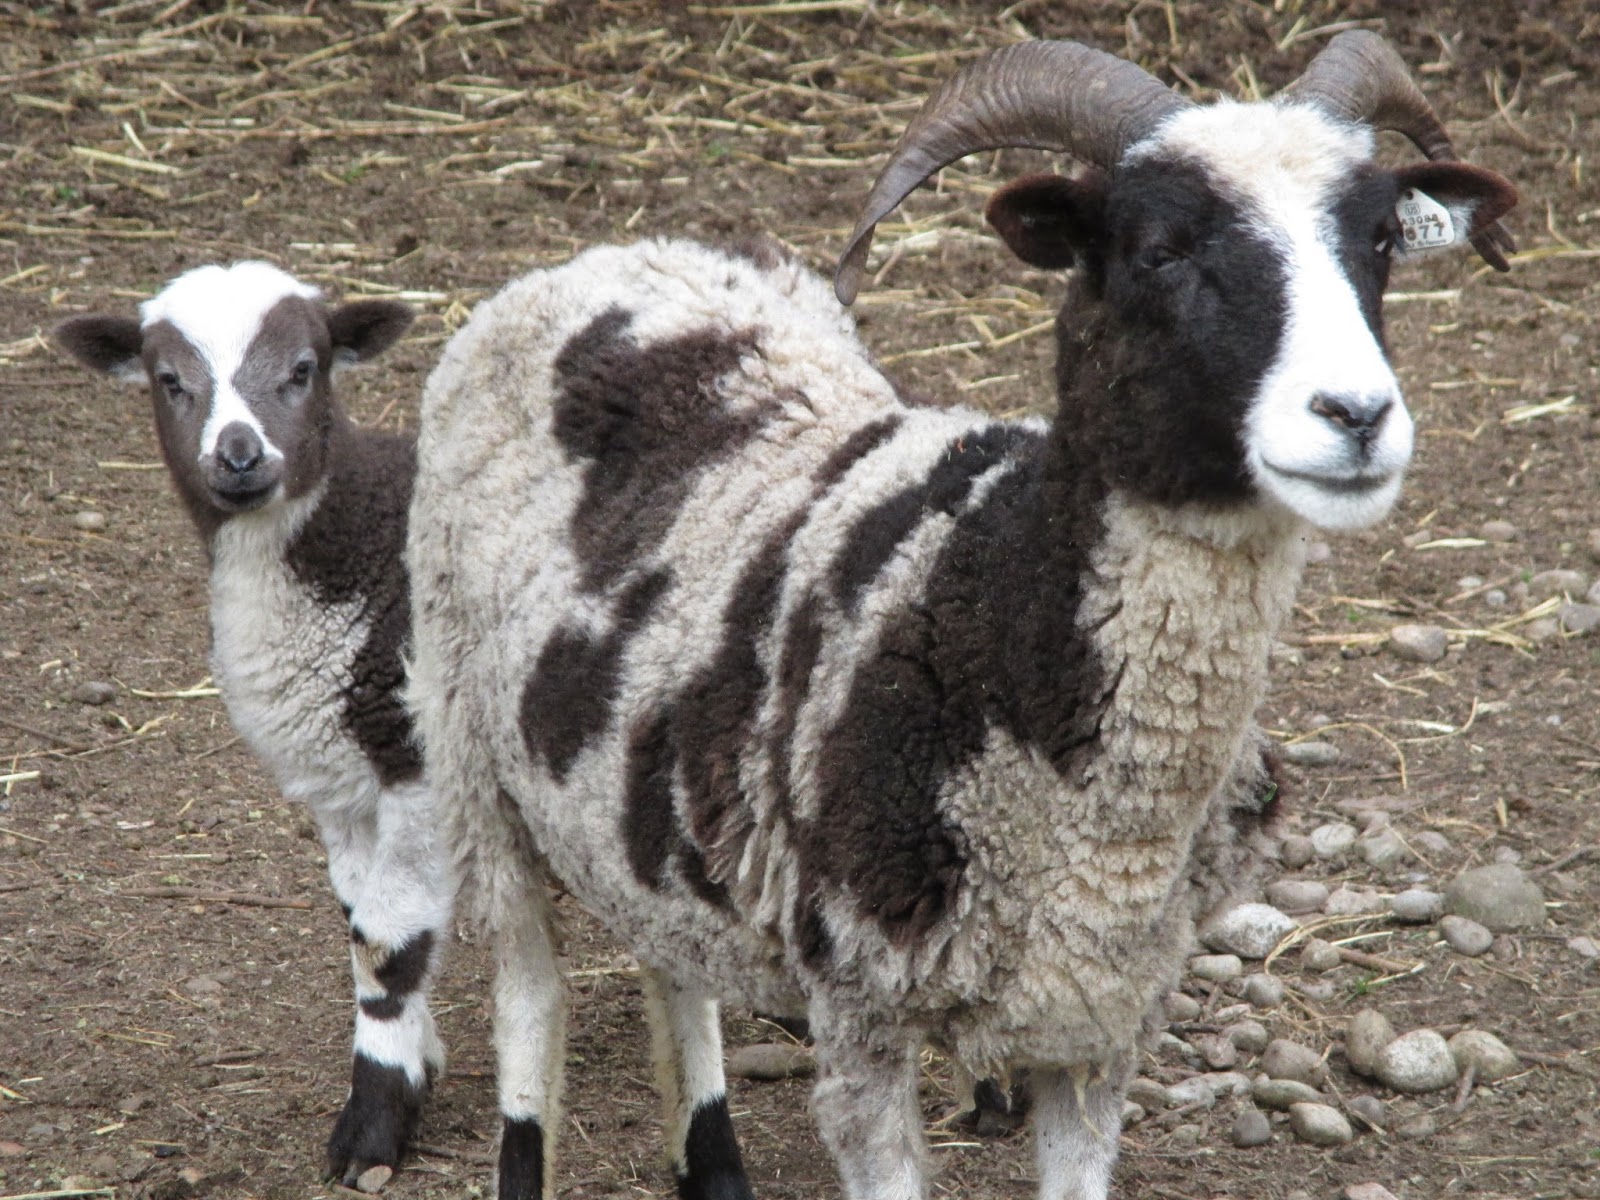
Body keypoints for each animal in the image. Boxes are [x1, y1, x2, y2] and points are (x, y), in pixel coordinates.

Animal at [54, 262, 449, 1187]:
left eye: (305, 367)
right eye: (169, 379)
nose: (239, 455)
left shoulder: (413, 754)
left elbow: (391, 947)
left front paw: (372, 1130)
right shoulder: (343, 783)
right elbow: (360, 925)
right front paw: (417, 1066)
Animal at [404, 31, 1516, 1200]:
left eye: (1382, 240)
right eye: (1158, 249)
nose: (1357, 416)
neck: (999, 617)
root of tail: (611, 257)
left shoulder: (1097, 1021)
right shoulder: (860, 1011)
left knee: (670, 956)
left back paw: (708, 1157)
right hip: (470, 748)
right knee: (530, 990)